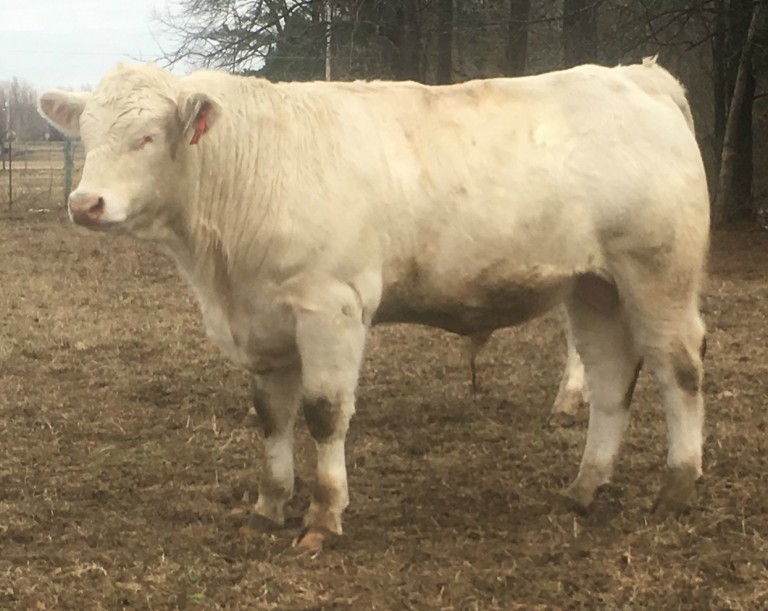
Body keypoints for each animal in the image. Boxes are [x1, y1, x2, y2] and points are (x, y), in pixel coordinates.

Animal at [38, 57, 709, 552]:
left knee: (679, 370)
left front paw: (322, 518)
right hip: (594, 288)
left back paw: (676, 489)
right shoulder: (262, 323)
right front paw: (268, 506)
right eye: (86, 135)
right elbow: (271, 417)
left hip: (658, 275)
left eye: (147, 137)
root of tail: (639, 76)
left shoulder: (331, 308)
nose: (85, 203)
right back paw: (583, 488)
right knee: (611, 379)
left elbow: (324, 414)